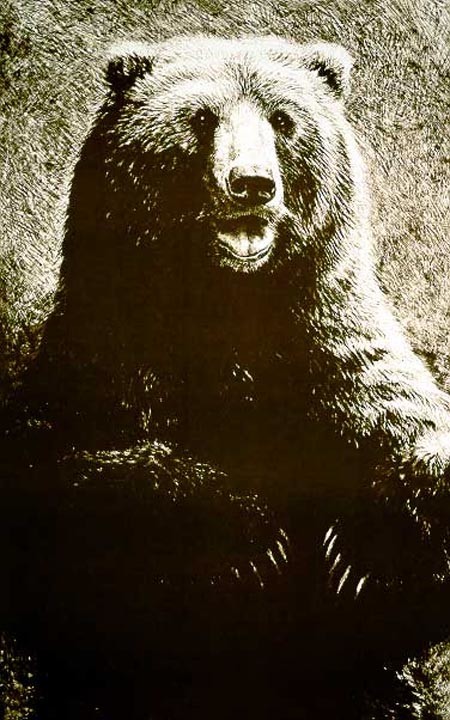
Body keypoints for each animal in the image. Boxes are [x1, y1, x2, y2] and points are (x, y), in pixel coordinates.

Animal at [2, 34, 450, 719]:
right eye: (199, 119)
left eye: (284, 120)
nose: (252, 184)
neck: (232, 302)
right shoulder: (107, 356)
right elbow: (75, 466)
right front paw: (252, 539)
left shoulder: (328, 338)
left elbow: (403, 417)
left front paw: (363, 553)